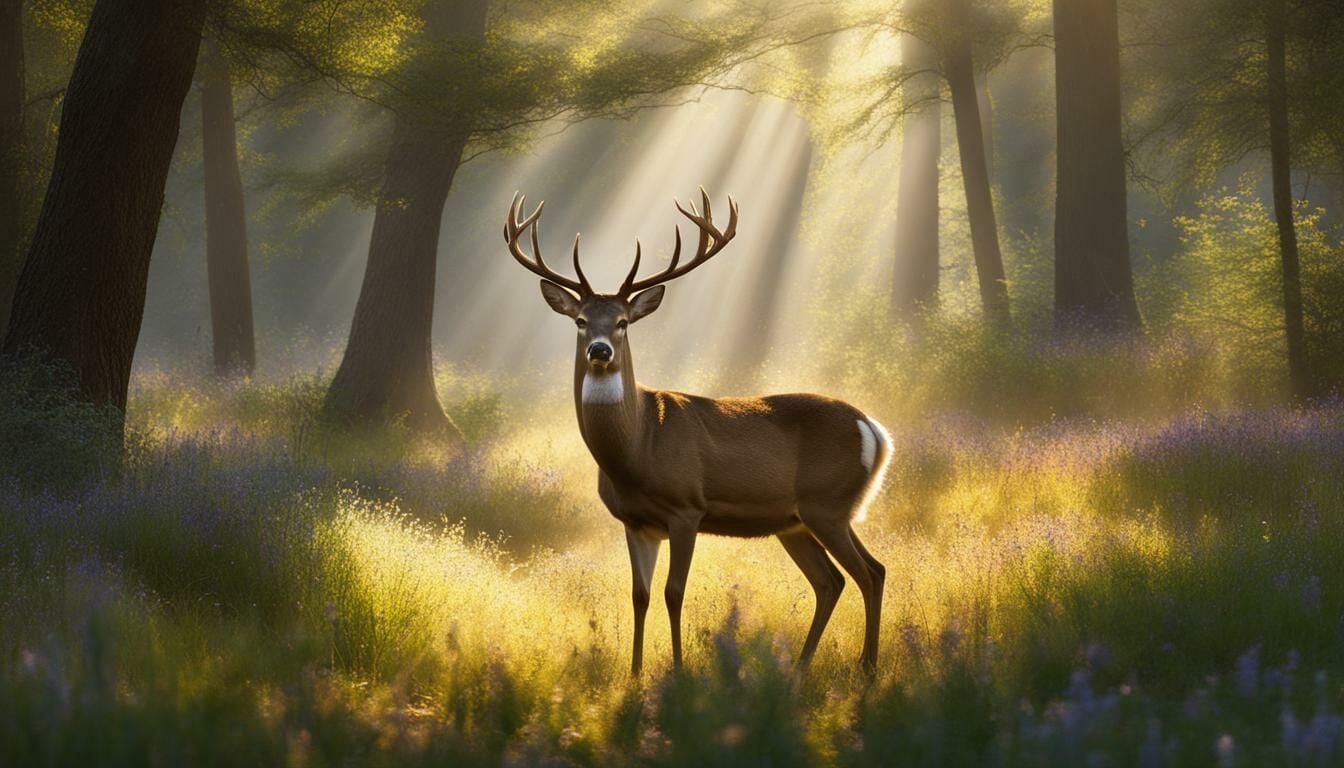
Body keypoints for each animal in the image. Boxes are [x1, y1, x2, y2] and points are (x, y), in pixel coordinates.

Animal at [503, 188, 892, 675]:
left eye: (623, 322)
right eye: (580, 321)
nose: (600, 350)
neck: (637, 448)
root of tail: (875, 430)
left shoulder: (687, 508)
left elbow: (674, 593)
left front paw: (679, 670)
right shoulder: (636, 522)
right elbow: (640, 595)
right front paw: (634, 674)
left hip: (828, 504)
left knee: (867, 573)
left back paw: (868, 669)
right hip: (800, 520)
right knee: (836, 580)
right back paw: (801, 668)